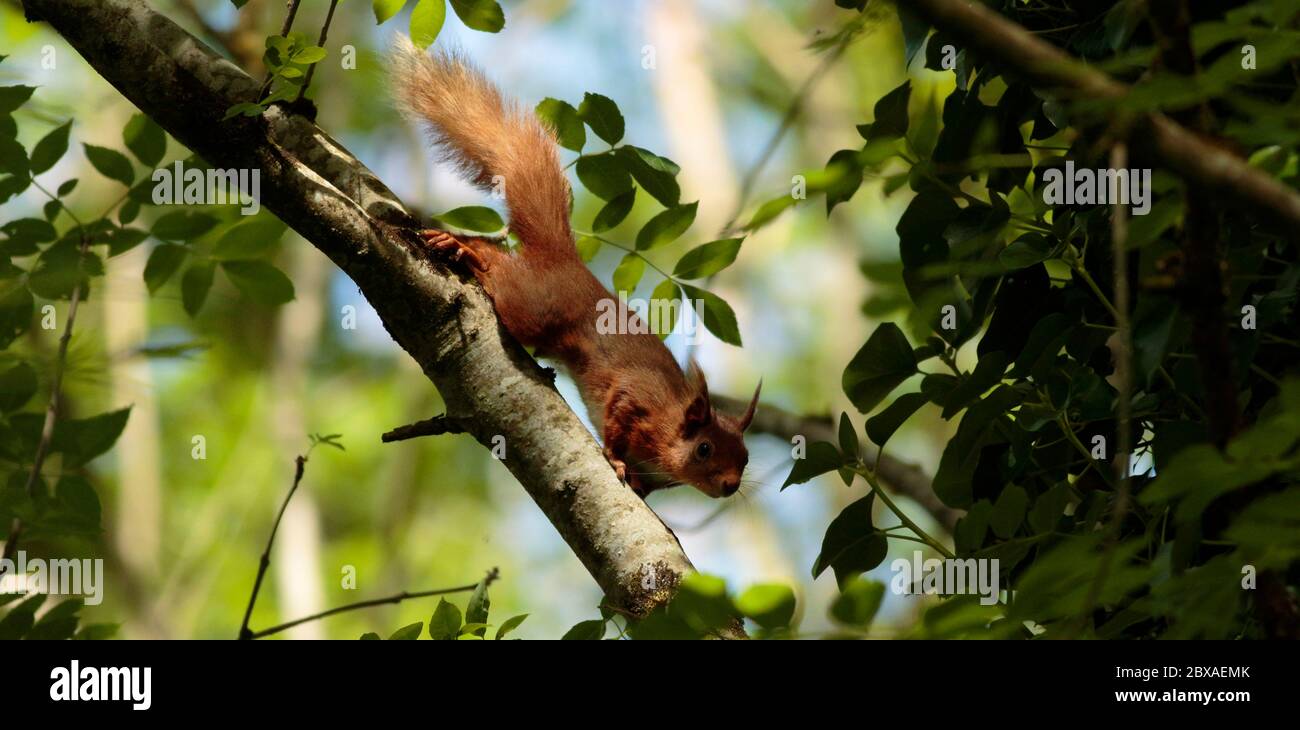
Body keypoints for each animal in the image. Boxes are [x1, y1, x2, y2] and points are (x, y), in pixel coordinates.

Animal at [389, 37, 760, 499]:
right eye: (704, 448)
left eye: (746, 457)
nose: (730, 486)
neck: (673, 422)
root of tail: (562, 259)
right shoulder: (635, 398)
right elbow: (616, 423)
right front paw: (616, 460)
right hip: (533, 306)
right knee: (501, 271)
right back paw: (465, 249)